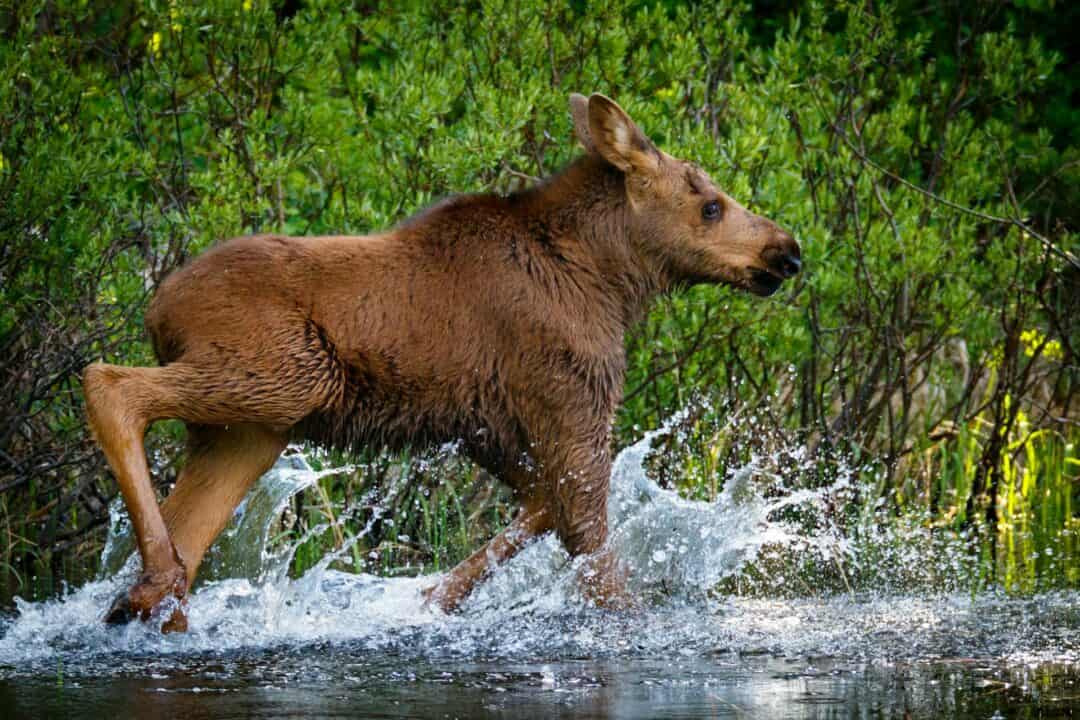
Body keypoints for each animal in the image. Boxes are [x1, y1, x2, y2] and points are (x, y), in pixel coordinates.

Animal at [82, 93, 801, 632]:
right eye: (710, 206)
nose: (787, 250)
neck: (612, 283)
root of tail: (156, 309)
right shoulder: (570, 402)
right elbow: (596, 556)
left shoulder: (488, 427)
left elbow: (540, 511)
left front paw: (427, 601)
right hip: (281, 377)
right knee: (107, 383)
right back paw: (154, 586)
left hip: (250, 431)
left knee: (190, 522)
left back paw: (152, 598)